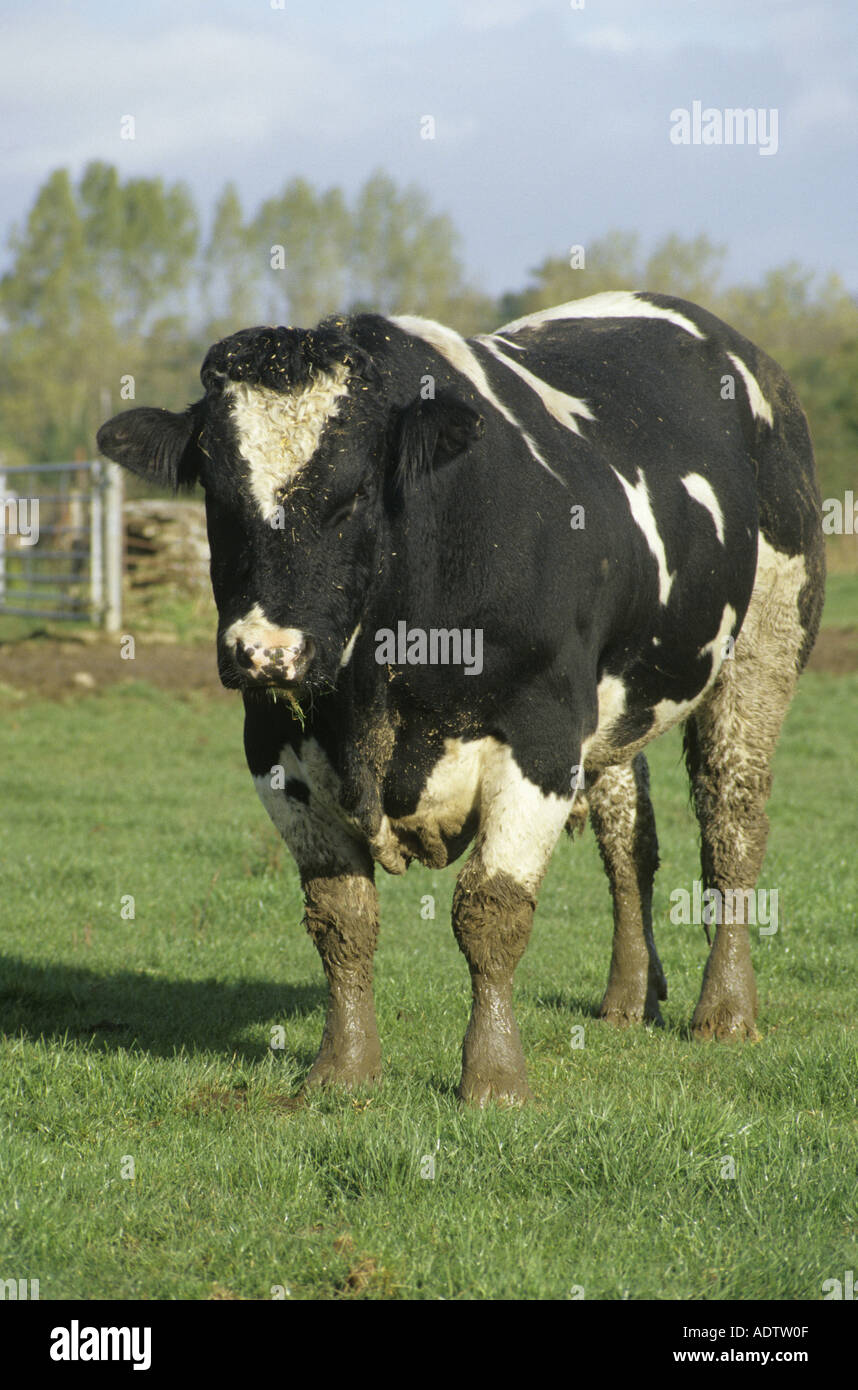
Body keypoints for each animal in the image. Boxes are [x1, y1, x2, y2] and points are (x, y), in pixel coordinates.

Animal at [97, 290, 825, 1106]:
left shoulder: (539, 736)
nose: (266, 651)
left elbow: (490, 912)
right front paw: (343, 1068)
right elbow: (341, 916)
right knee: (628, 843)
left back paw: (725, 1010)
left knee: (730, 823)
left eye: (354, 494)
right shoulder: (275, 749)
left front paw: (495, 1077)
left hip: (764, 646)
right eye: (217, 495)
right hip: (614, 707)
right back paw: (628, 998)